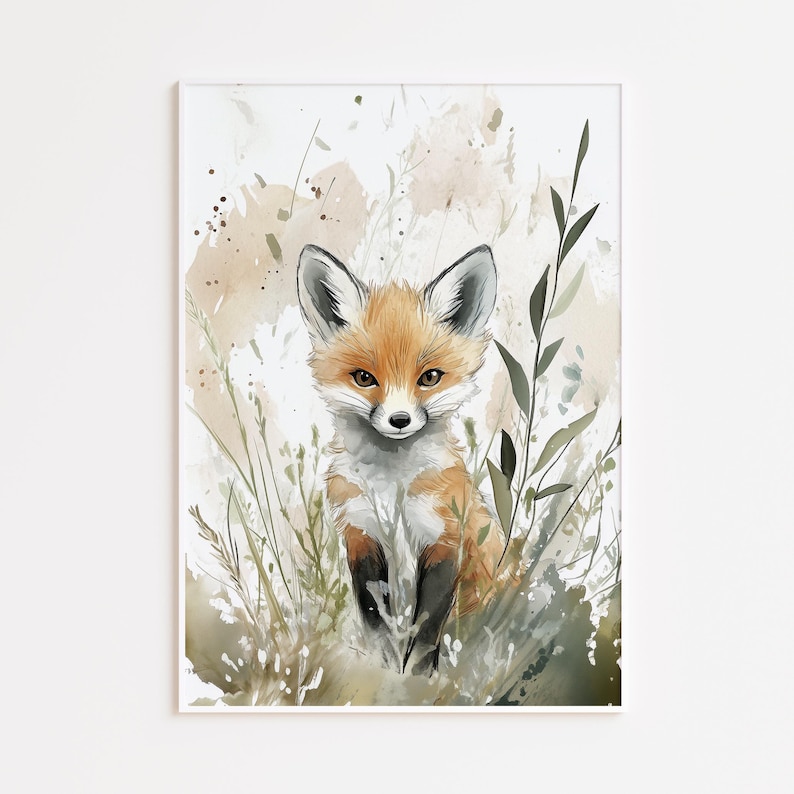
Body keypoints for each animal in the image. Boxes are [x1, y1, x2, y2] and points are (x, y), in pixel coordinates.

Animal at [297, 243, 505, 675]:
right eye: (364, 378)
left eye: (429, 377)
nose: (399, 420)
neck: (392, 491)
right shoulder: (361, 537)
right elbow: (377, 623)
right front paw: (385, 669)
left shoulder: (445, 538)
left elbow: (426, 628)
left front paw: (417, 679)